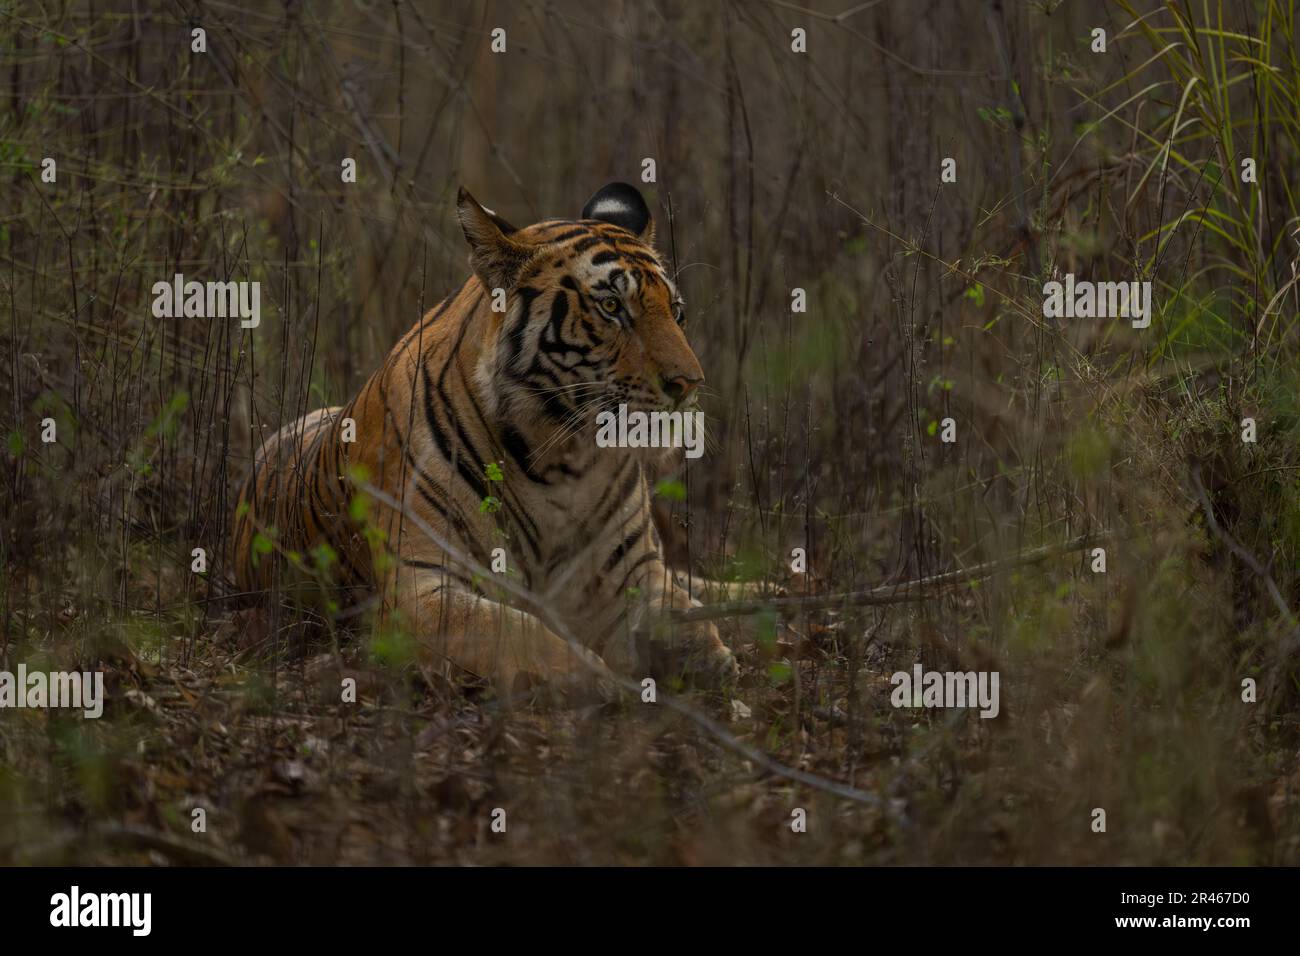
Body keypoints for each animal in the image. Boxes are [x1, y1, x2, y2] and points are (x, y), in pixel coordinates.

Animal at [232, 182, 736, 698]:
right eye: (612, 307)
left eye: (676, 312)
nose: (689, 384)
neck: (564, 460)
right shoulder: (422, 590)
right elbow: (522, 632)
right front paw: (602, 681)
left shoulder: (639, 572)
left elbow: (683, 618)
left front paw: (710, 660)